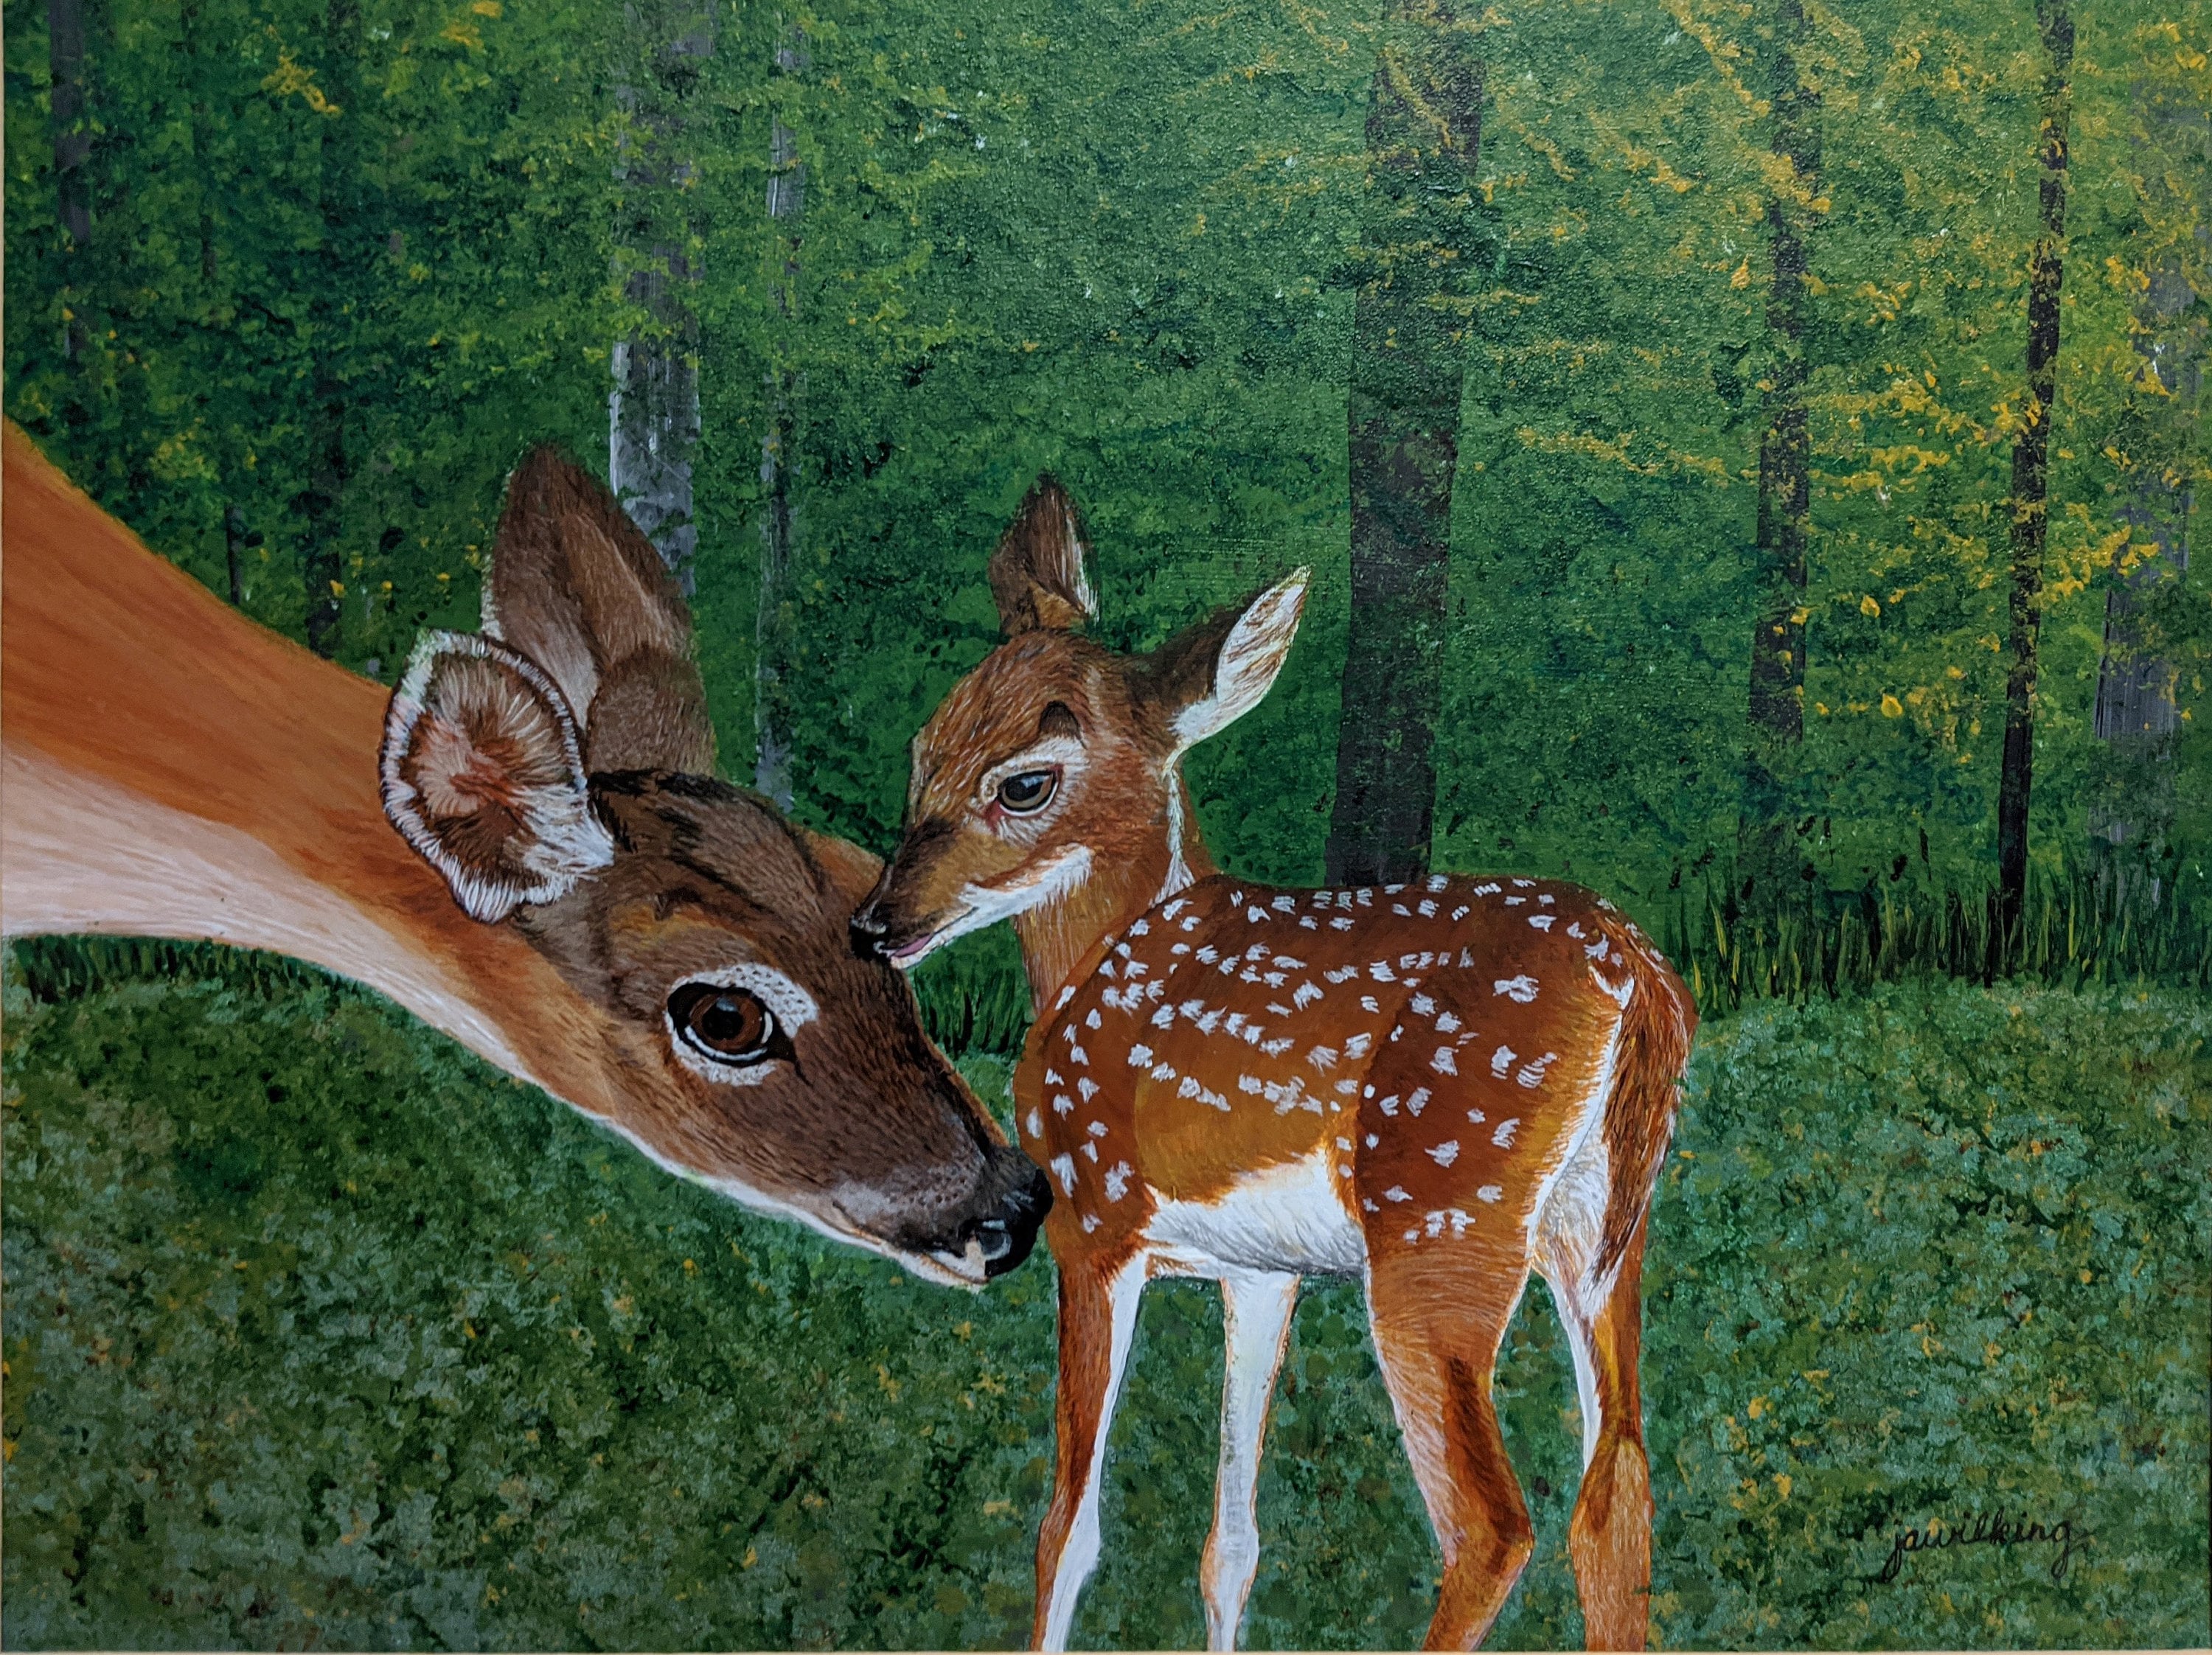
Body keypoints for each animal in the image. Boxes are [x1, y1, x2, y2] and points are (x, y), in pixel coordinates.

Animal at [850, 479, 1697, 1651]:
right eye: (924, 745)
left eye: (1024, 783)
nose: (877, 924)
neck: (1089, 965)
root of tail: (1636, 975)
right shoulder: (1260, 1270)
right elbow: (1233, 1542)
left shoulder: (1093, 1221)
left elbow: (1068, 1526)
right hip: (1606, 1230)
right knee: (1618, 1492)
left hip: (1441, 1221)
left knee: (1493, 1523)